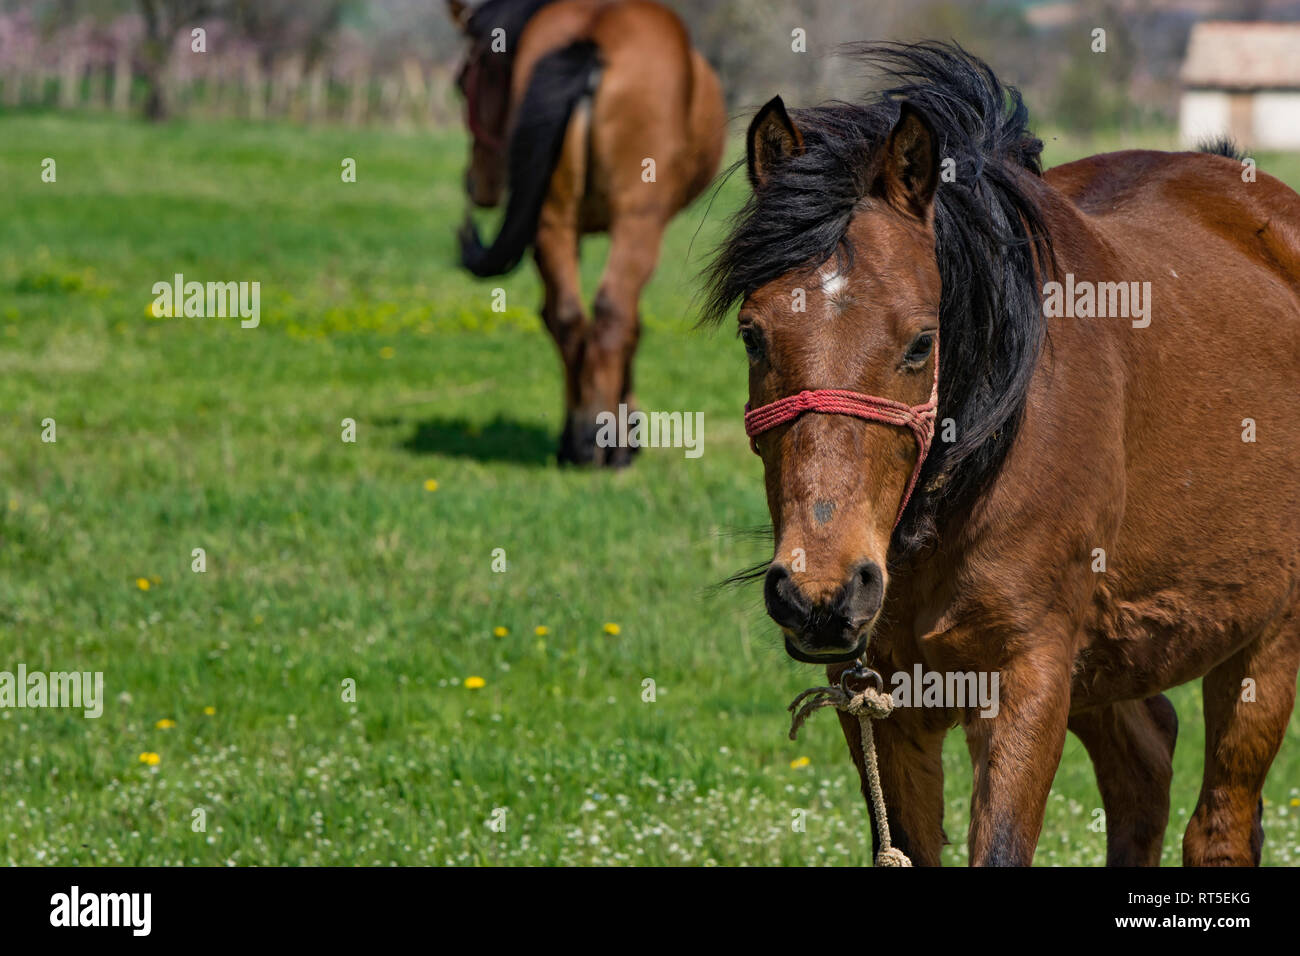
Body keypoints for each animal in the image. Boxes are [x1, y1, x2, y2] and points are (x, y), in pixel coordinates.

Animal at [447, 0, 726, 465]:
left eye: (460, 84)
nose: (476, 184)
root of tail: (593, 36)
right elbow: (631, 324)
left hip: (552, 219)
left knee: (566, 316)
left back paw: (576, 440)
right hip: (636, 220)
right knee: (614, 314)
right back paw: (600, 441)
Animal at [703, 42, 1300, 866]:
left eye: (922, 341)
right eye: (753, 335)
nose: (820, 593)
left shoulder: (1030, 676)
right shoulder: (883, 697)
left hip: (1264, 638)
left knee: (1220, 827)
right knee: (1145, 766)